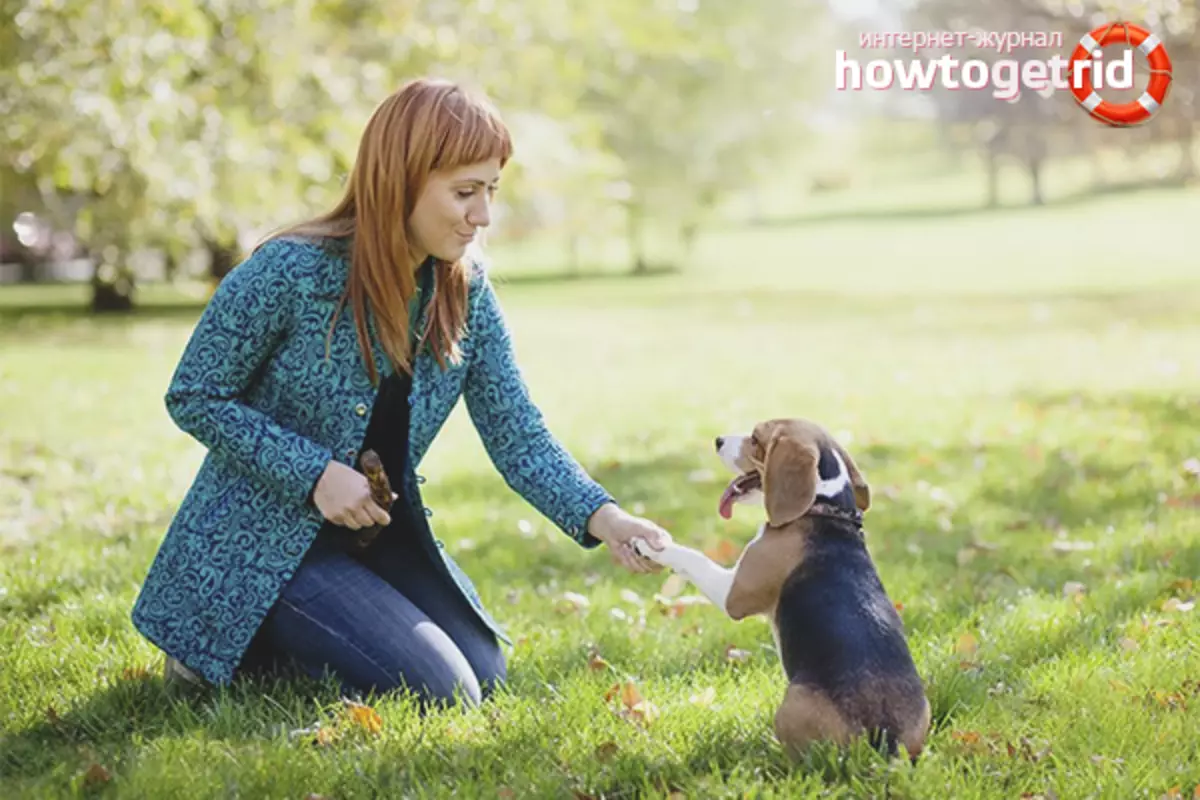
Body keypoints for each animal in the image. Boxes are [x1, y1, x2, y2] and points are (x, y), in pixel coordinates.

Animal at [638, 419, 926, 762]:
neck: (823, 506)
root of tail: (884, 739)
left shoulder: (735, 593)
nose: (718, 440)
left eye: (755, 438)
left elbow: (693, 558)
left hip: (792, 704)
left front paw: (652, 544)